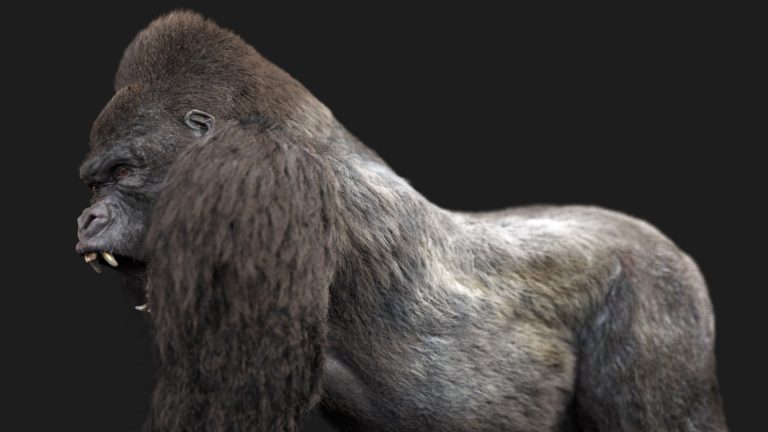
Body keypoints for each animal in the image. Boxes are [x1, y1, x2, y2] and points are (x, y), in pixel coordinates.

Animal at [75, 10, 728, 432]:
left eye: (124, 171)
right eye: (95, 182)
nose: (86, 218)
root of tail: (672, 249)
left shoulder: (251, 178)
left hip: (660, 292)